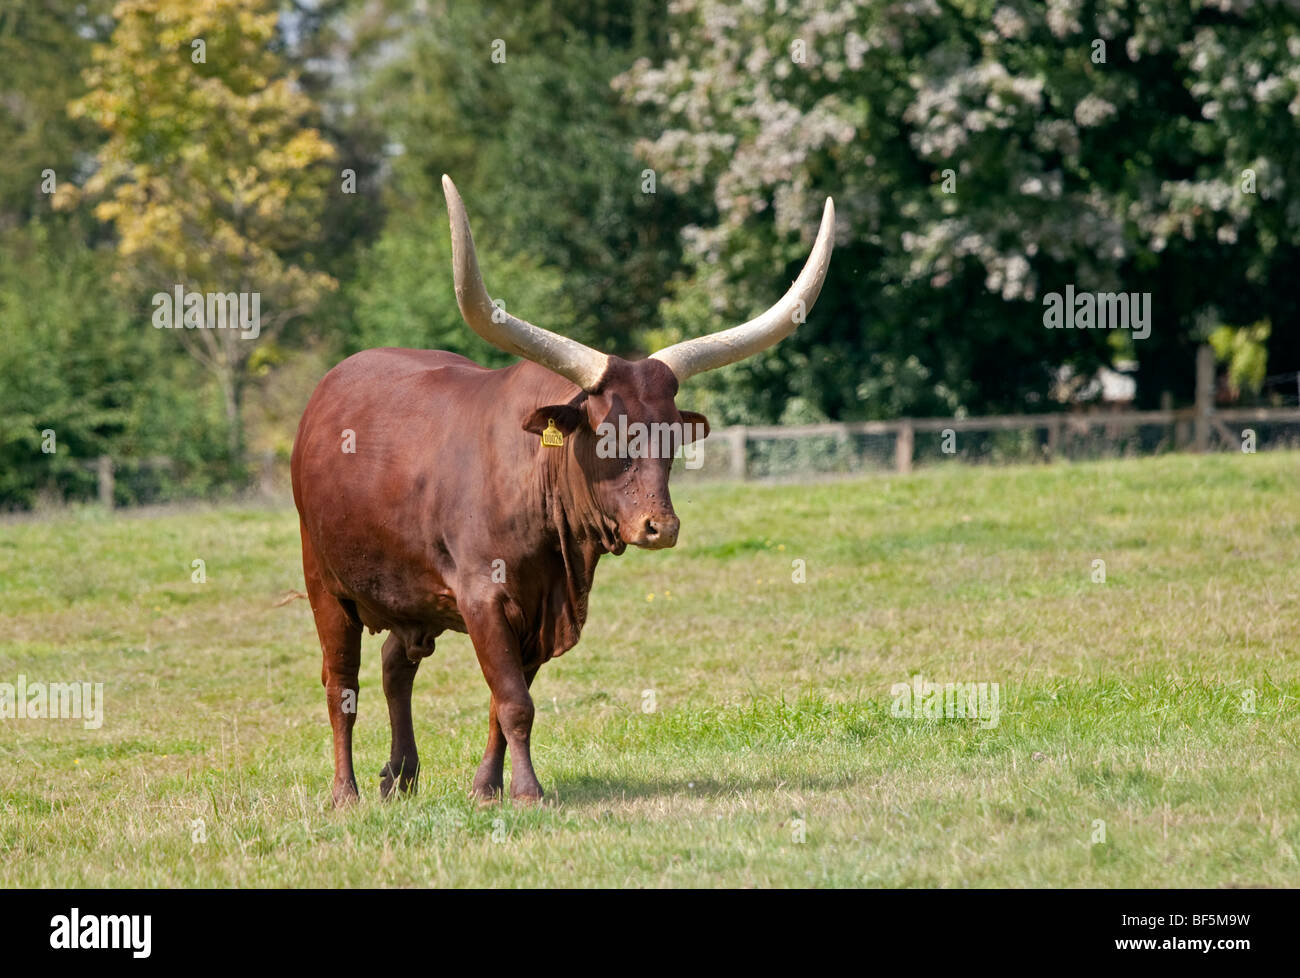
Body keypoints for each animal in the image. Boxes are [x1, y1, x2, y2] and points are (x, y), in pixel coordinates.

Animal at [291, 176, 835, 806]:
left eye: (672, 435)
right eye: (605, 434)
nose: (661, 527)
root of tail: (324, 394)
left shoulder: (540, 610)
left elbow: (502, 705)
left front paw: (487, 788)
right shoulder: (483, 598)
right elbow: (514, 703)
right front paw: (526, 792)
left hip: (410, 594)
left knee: (393, 665)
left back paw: (399, 775)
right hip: (325, 583)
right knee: (341, 684)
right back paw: (345, 793)